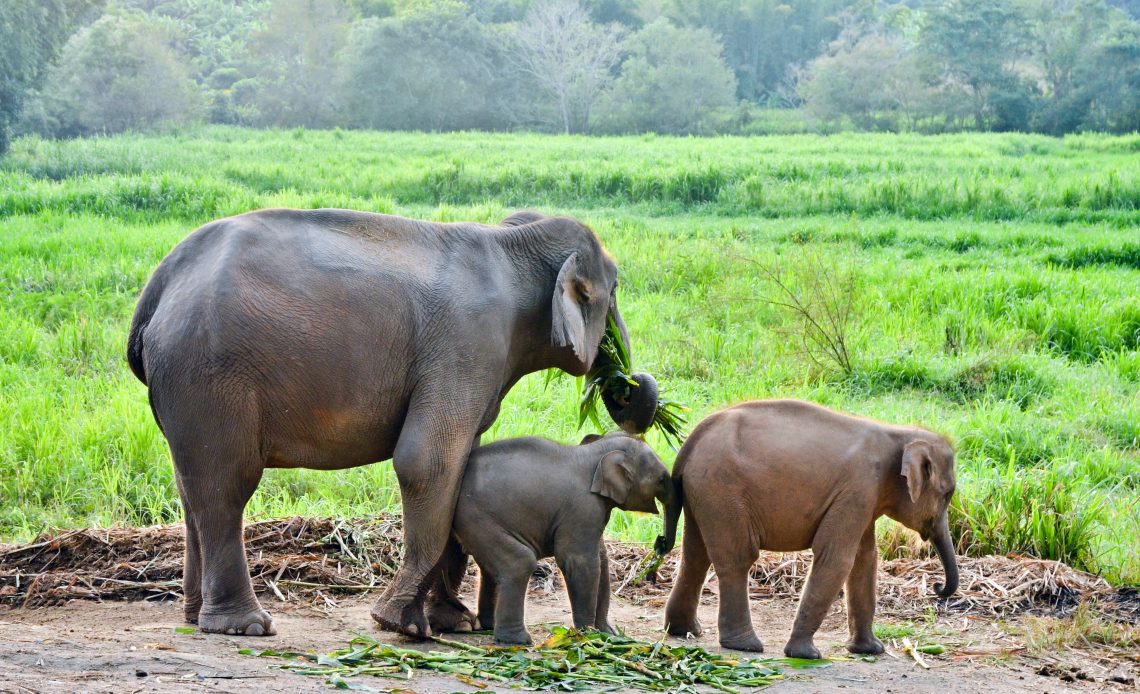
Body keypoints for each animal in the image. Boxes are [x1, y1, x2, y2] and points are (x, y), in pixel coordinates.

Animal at [125, 208, 659, 637]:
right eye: (615, 290)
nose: (623, 382)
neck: (512, 242)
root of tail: (157, 288)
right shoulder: (467, 344)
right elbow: (427, 461)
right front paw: (404, 626)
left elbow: (461, 466)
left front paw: (455, 623)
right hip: (210, 375)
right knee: (226, 484)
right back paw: (246, 626)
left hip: (187, 386)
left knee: (192, 485)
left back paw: (196, 617)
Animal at [431, 433, 677, 645]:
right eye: (662, 479)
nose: (660, 541)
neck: (593, 452)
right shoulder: (583, 508)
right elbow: (579, 562)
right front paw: (587, 635)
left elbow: (601, 561)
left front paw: (609, 634)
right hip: (476, 516)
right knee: (519, 563)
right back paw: (518, 640)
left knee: (491, 569)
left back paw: (490, 627)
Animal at [661, 400, 958, 658]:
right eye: (947, 494)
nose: (937, 587)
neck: (899, 433)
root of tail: (690, 442)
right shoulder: (859, 489)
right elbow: (837, 559)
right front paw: (805, 655)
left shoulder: (865, 497)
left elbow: (865, 561)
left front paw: (870, 650)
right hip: (722, 489)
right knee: (737, 557)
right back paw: (745, 645)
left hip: (702, 492)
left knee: (696, 555)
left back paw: (684, 631)